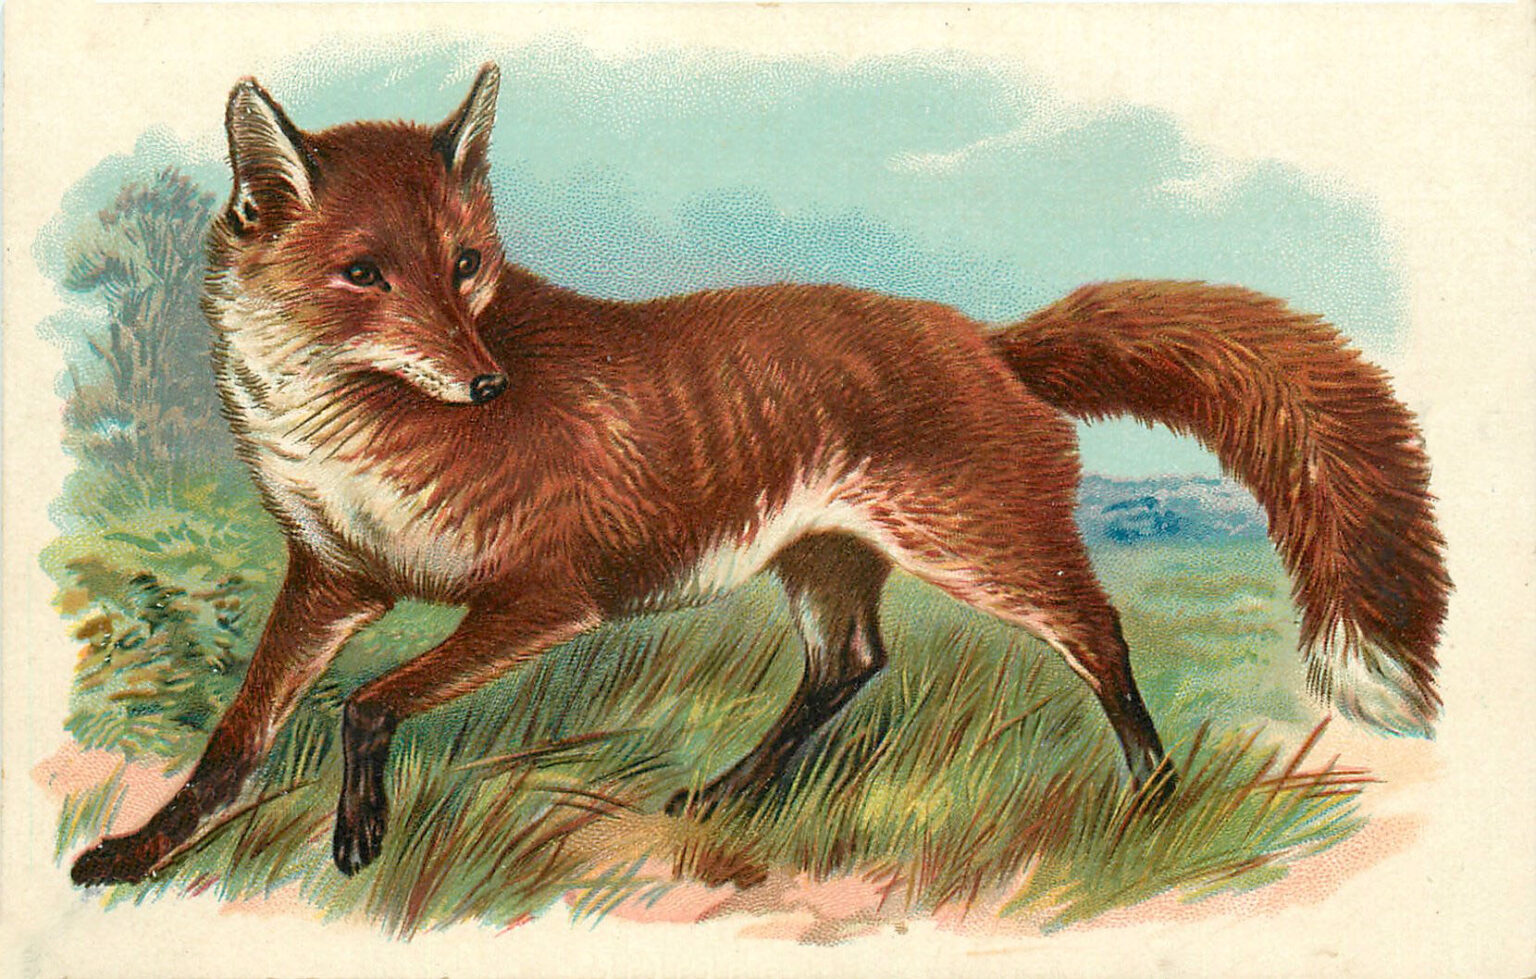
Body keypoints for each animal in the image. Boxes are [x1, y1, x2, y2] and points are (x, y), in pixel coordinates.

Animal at [71, 63, 1448, 886]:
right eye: (365, 274)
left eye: (466, 265)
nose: (487, 386)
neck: (341, 437)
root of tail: (985, 336)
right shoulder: (334, 577)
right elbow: (237, 742)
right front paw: (137, 854)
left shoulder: (548, 596)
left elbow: (366, 704)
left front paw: (359, 828)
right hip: (825, 563)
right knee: (853, 669)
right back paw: (729, 796)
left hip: (983, 550)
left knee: (1099, 638)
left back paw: (1152, 796)